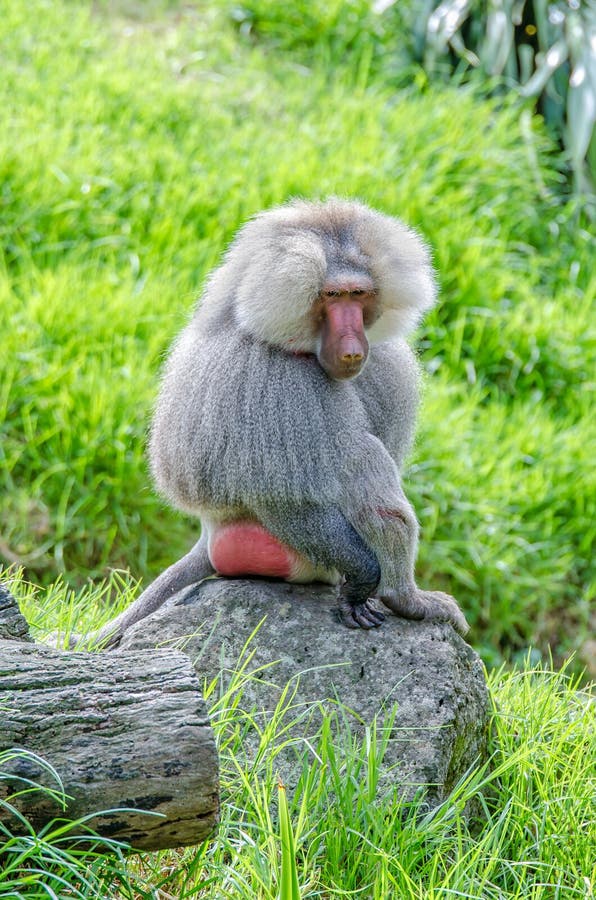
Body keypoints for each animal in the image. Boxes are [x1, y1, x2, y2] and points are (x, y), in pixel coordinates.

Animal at [85, 198, 467, 649]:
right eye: (332, 296)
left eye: (358, 295)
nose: (353, 351)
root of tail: (208, 538)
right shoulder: (274, 380)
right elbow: (285, 499)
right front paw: (363, 580)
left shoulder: (386, 361)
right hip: (293, 554)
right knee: (358, 460)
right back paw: (406, 598)